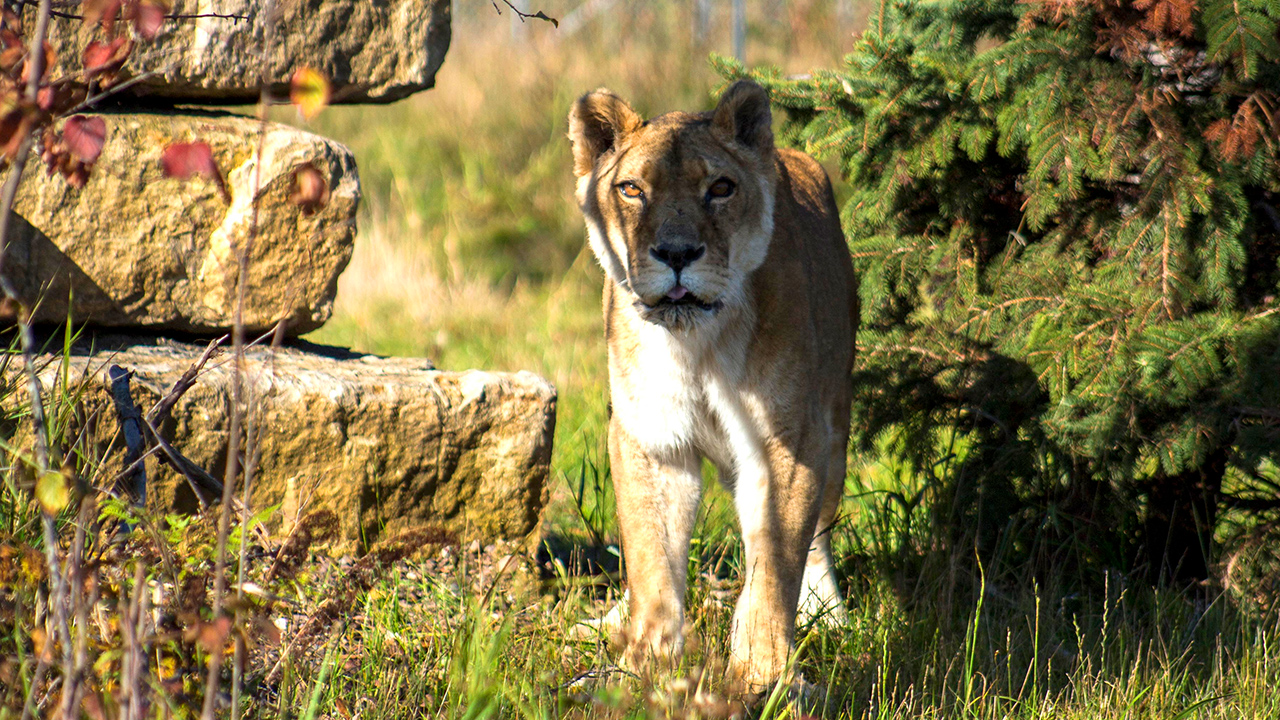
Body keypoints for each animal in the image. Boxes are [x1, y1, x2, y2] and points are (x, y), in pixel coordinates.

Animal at [568, 79, 858, 691]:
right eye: (632, 189)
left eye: (720, 188)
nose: (677, 254)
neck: (696, 345)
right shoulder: (650, 439)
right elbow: (651, 556)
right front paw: (646, 663)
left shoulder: (788, 444)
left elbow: (776, 563)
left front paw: (765, 675)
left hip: (836, 427)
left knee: (817, 535)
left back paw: (829, 617)